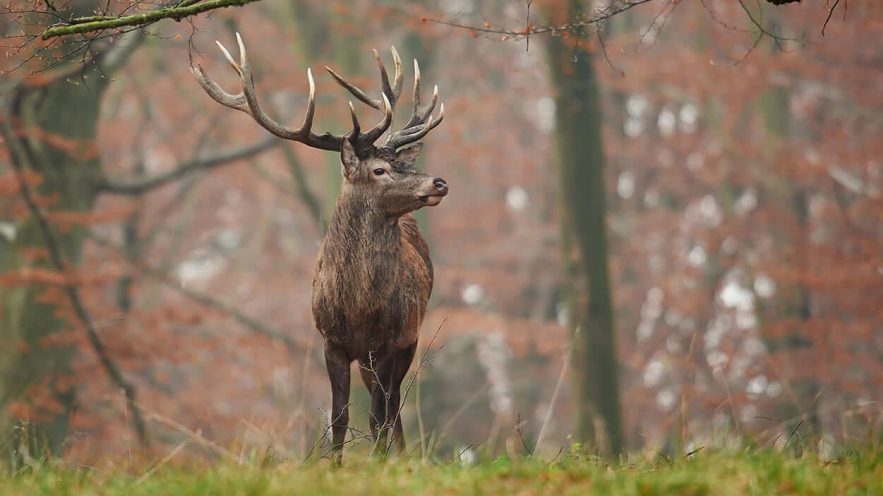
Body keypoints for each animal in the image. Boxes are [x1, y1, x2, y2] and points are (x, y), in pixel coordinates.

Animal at [191, 34, 447, 462]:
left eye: (403, 162)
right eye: (379, 169)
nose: (439, 182)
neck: (358, 306)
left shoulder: (387, 342)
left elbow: (376, 416)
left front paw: (379, 464)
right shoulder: (332, 341)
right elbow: (339, 417)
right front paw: (336, 466)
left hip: (409, 338)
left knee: (393, 406)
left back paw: (402, 456)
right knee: (390, 406)